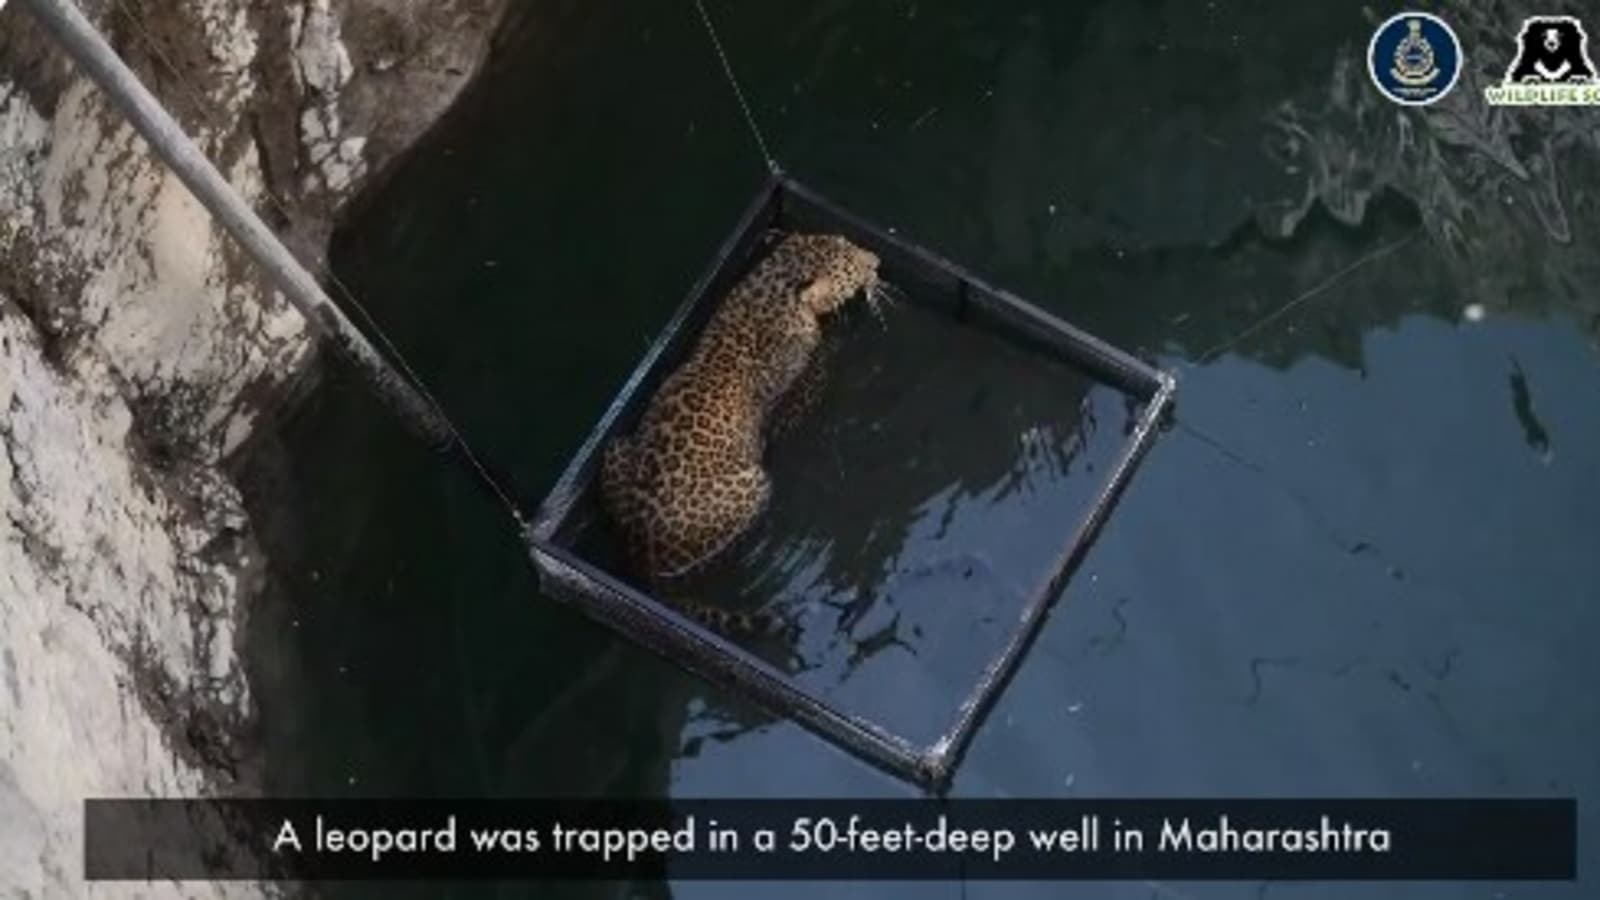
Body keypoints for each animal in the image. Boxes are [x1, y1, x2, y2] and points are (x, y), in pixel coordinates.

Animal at [600, 231, 886, 639]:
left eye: (847, 241)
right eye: (851, 267)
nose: (877, 262)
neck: (769, 288)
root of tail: (647, 556)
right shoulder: (798, 387)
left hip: (616, 446)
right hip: (755, 483)